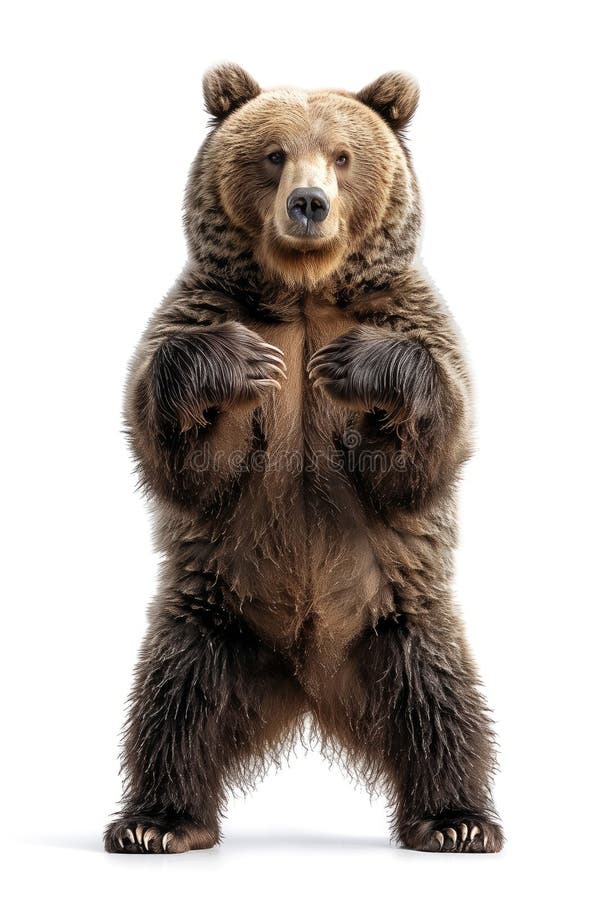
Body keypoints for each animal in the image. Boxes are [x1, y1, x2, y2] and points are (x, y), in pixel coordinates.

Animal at [104, 63, 504, 854]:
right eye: (274, 154)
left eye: (343, 156)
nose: (309, 203)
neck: (303, 294)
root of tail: (307, 688)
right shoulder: (202, 306)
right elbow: (186, 455)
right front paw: (237, 363)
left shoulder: (406, 313)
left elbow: (424, 452)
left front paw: (356, 366)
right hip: (211, 618)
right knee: (174, 704)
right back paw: (158, 821)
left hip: (399, 621)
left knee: (442, 704)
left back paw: (456, 820)